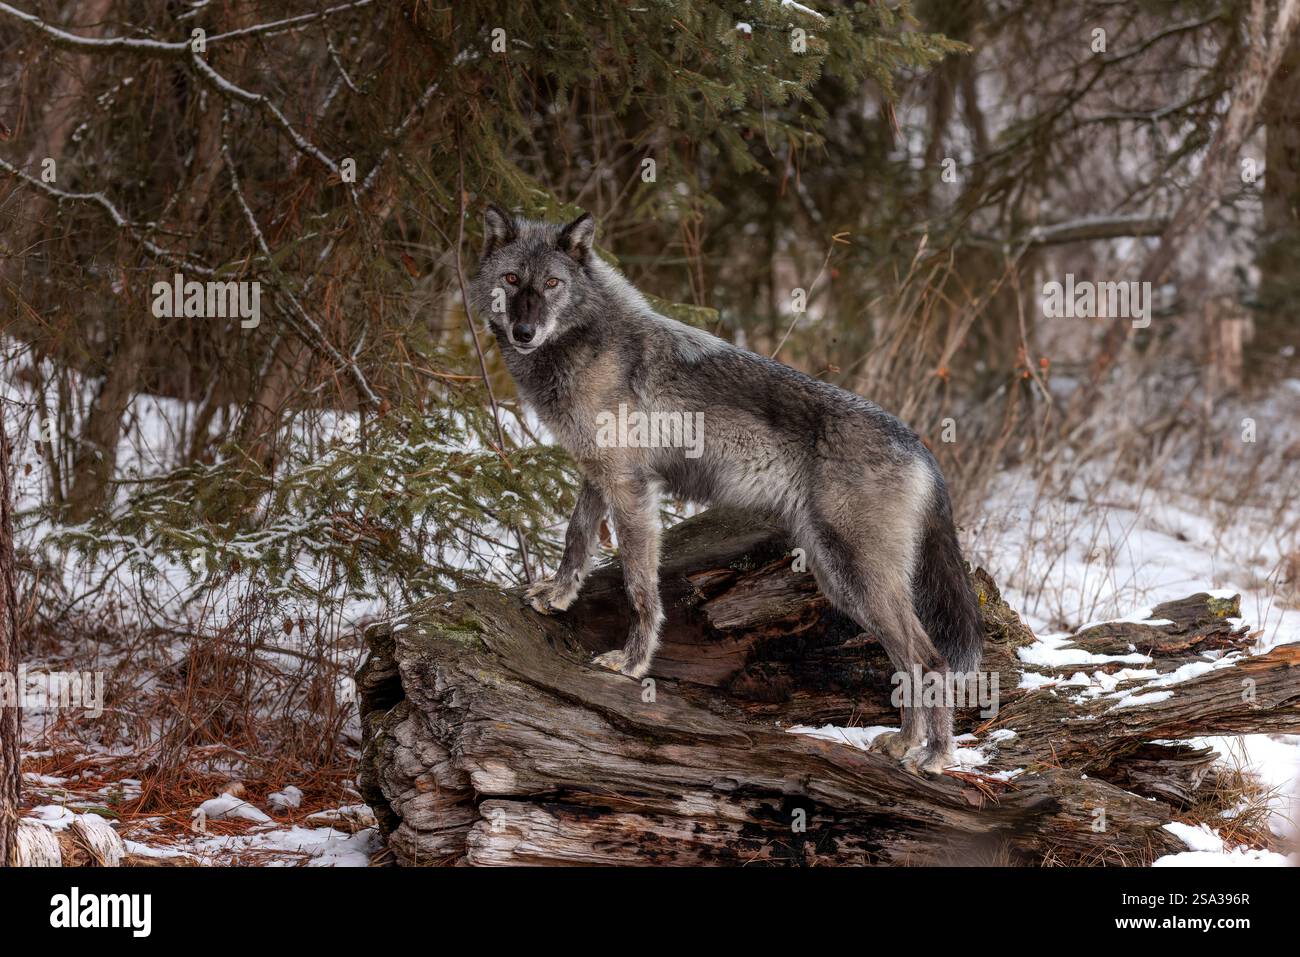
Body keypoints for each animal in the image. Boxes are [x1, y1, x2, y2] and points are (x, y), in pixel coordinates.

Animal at [468, 205, 984, 775]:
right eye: (511, 279)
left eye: (553, 284)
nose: (524, 330)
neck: (590, 340)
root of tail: (922, 448)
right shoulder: (599, 474)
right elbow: (576, 538)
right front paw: (557, 596)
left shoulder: (631, 487)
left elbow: (639, 587)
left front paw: (632, 662)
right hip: (841, 581)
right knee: (905, 659)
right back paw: (903, 744)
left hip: (857, 575)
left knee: (929, 658)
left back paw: (934, 756)